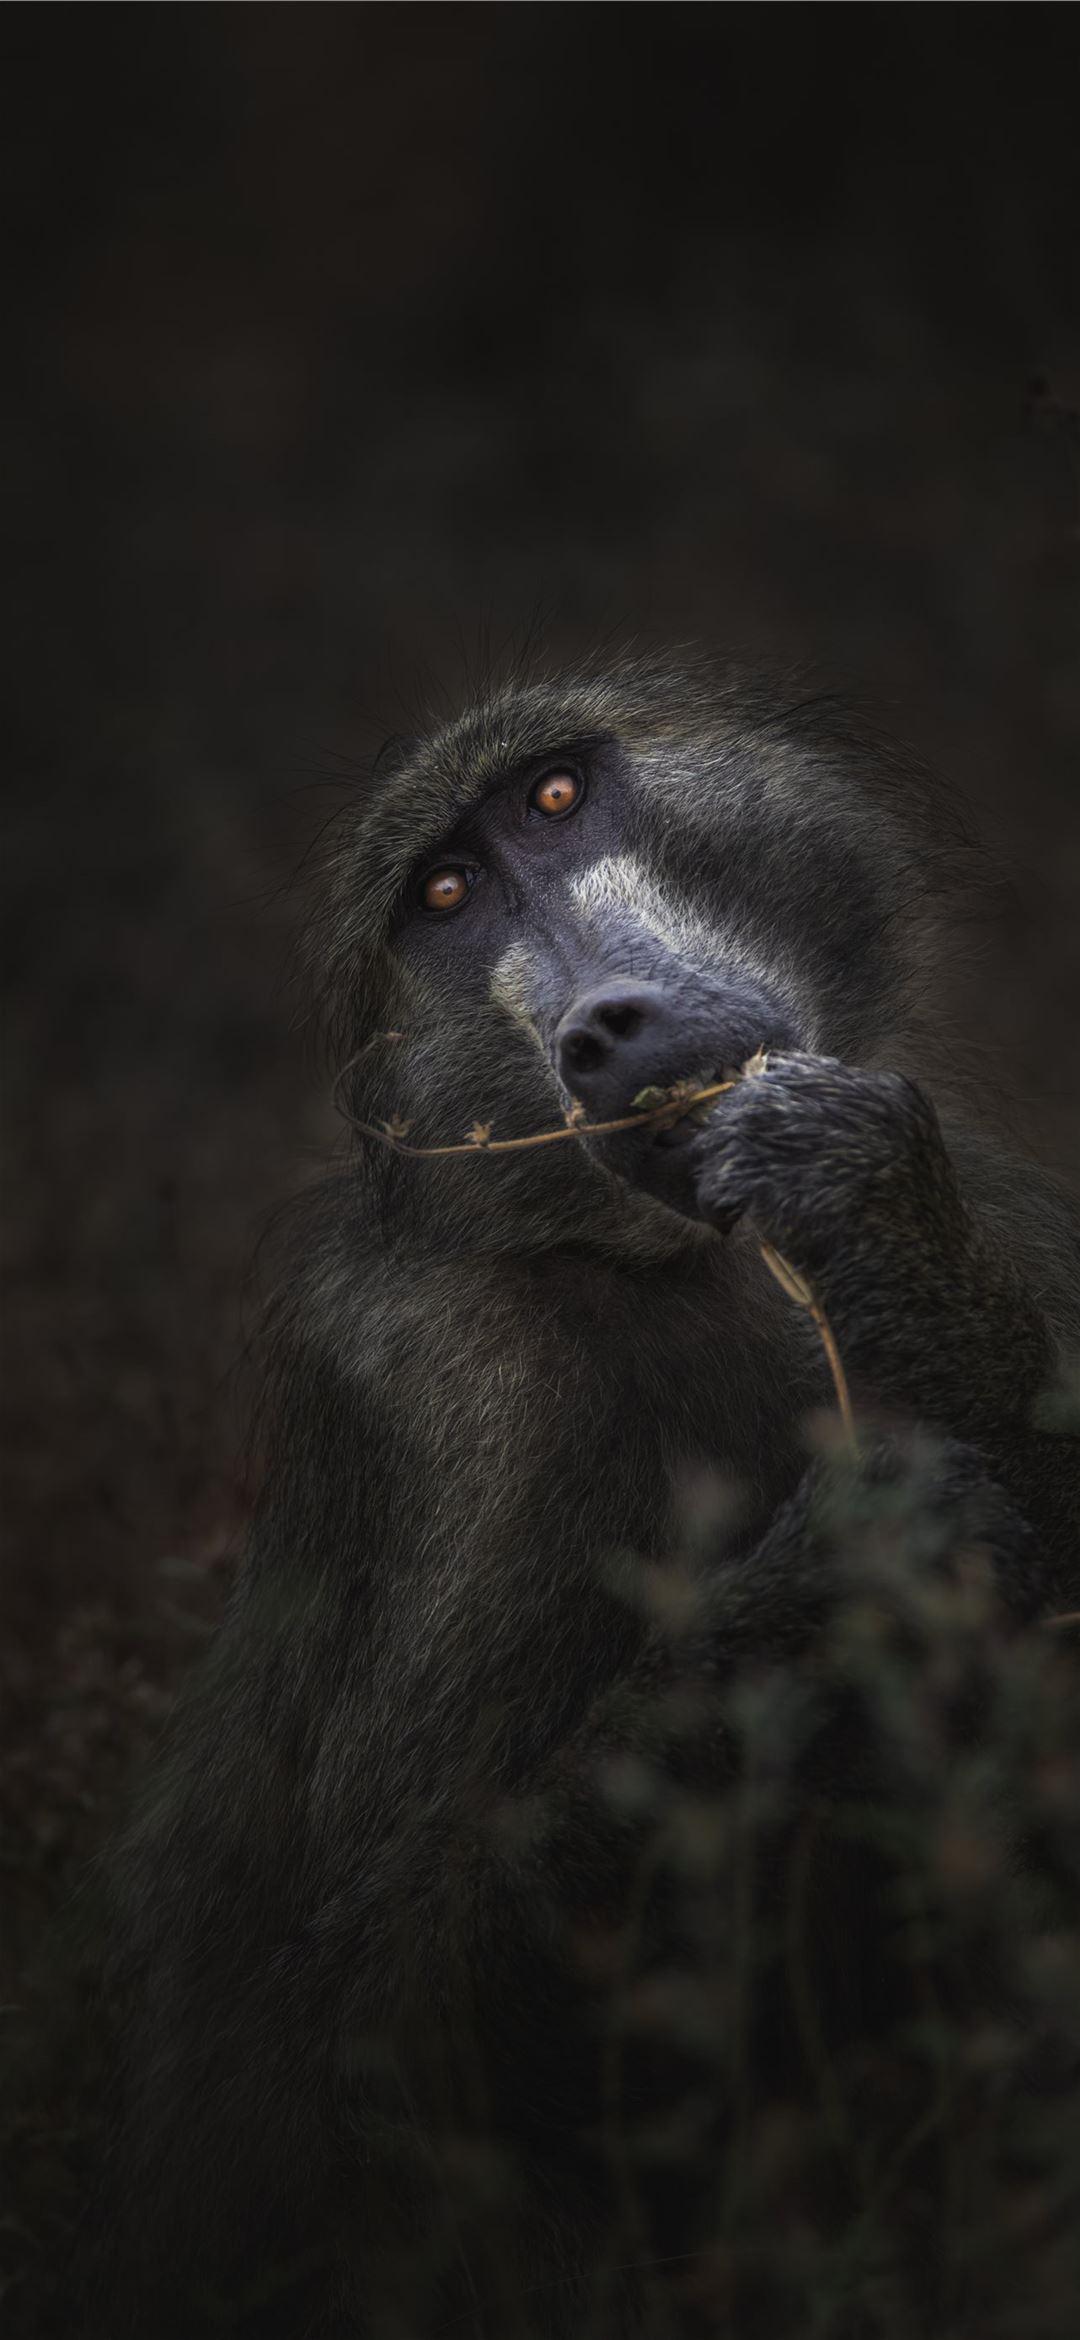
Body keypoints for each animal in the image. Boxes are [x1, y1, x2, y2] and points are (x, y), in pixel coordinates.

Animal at [91, 657, 1080, 2340]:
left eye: (554, 800)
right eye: (442, 896)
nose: (607, 1028)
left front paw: (877, 1219)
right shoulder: (469, 1410)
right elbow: (387, 2024)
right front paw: (857, 1562)